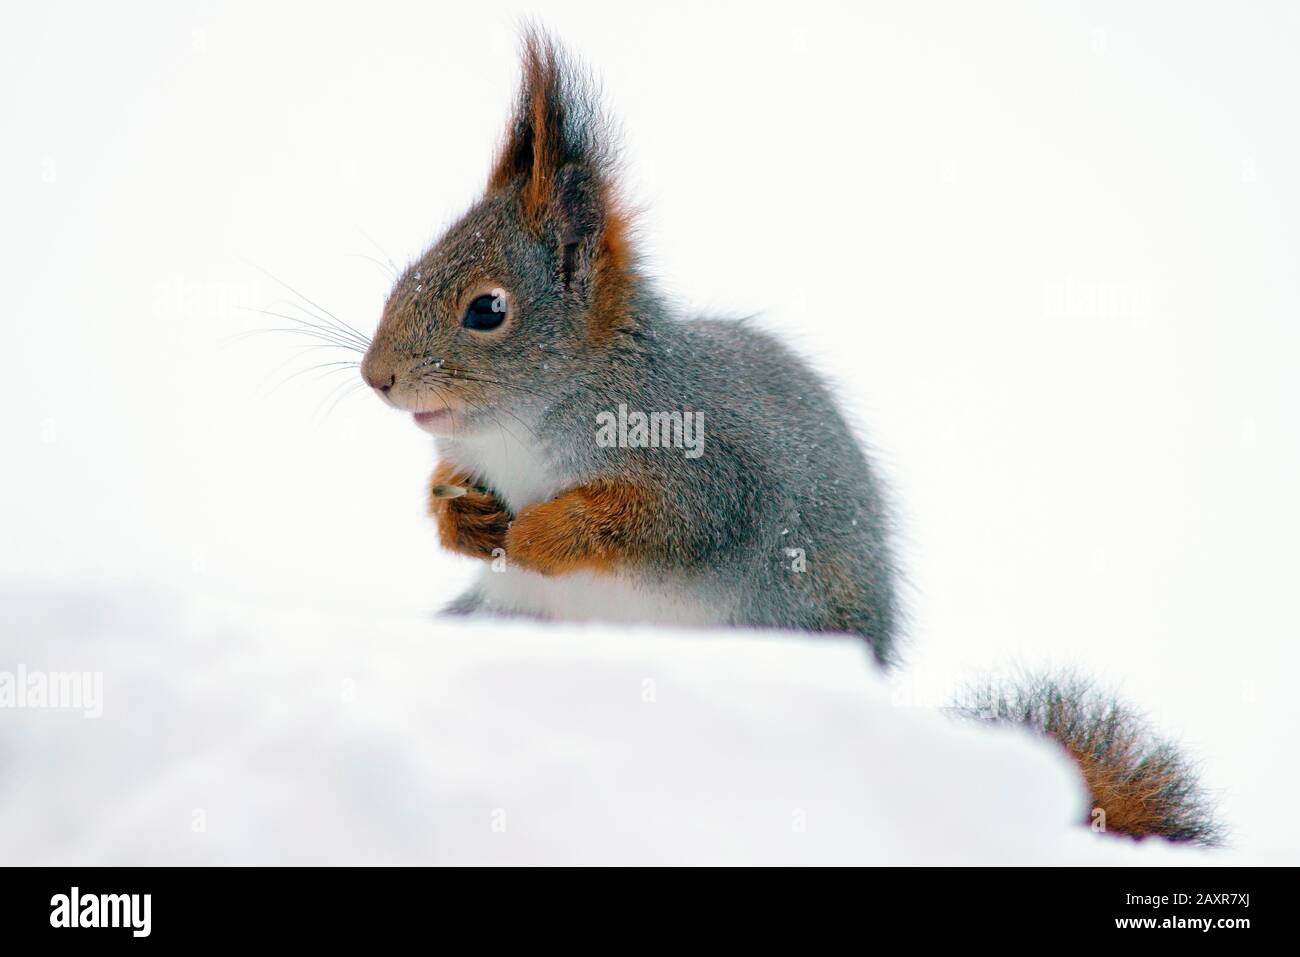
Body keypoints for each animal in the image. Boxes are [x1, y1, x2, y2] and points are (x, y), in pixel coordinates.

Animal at [359, 28, 1220, 847]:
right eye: (409, 271)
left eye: (487, 309)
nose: (376, 376)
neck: (531, 422)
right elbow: (454, 492)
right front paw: (465, 518)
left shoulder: (712, 470)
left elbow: (657, 523)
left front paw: (541, 531)